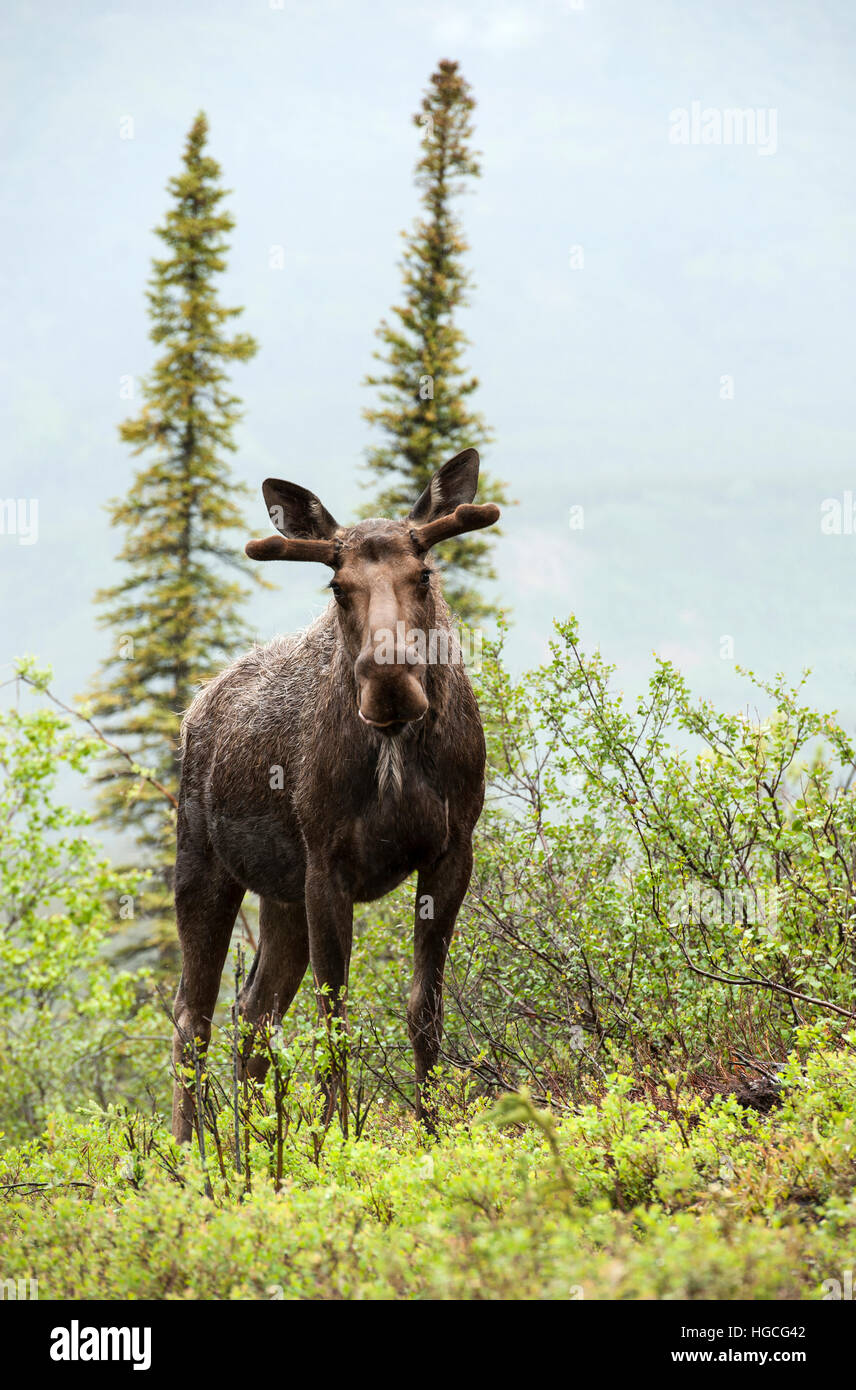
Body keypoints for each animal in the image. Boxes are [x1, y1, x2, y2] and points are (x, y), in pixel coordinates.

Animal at [171, 448, 500, 1140]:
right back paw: (189, 1153)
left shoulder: (453, 849)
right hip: (203, 866)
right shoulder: (327, 864)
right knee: (195, 1015)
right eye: (336, 587)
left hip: (280, 895)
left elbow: (423, 1008)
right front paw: (337, 1138)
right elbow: (335, 1018)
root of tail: (195, 708)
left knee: (254, 1013)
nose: (389, 682)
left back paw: (254, 1144)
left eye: (423, 574)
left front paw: (433, 1130)